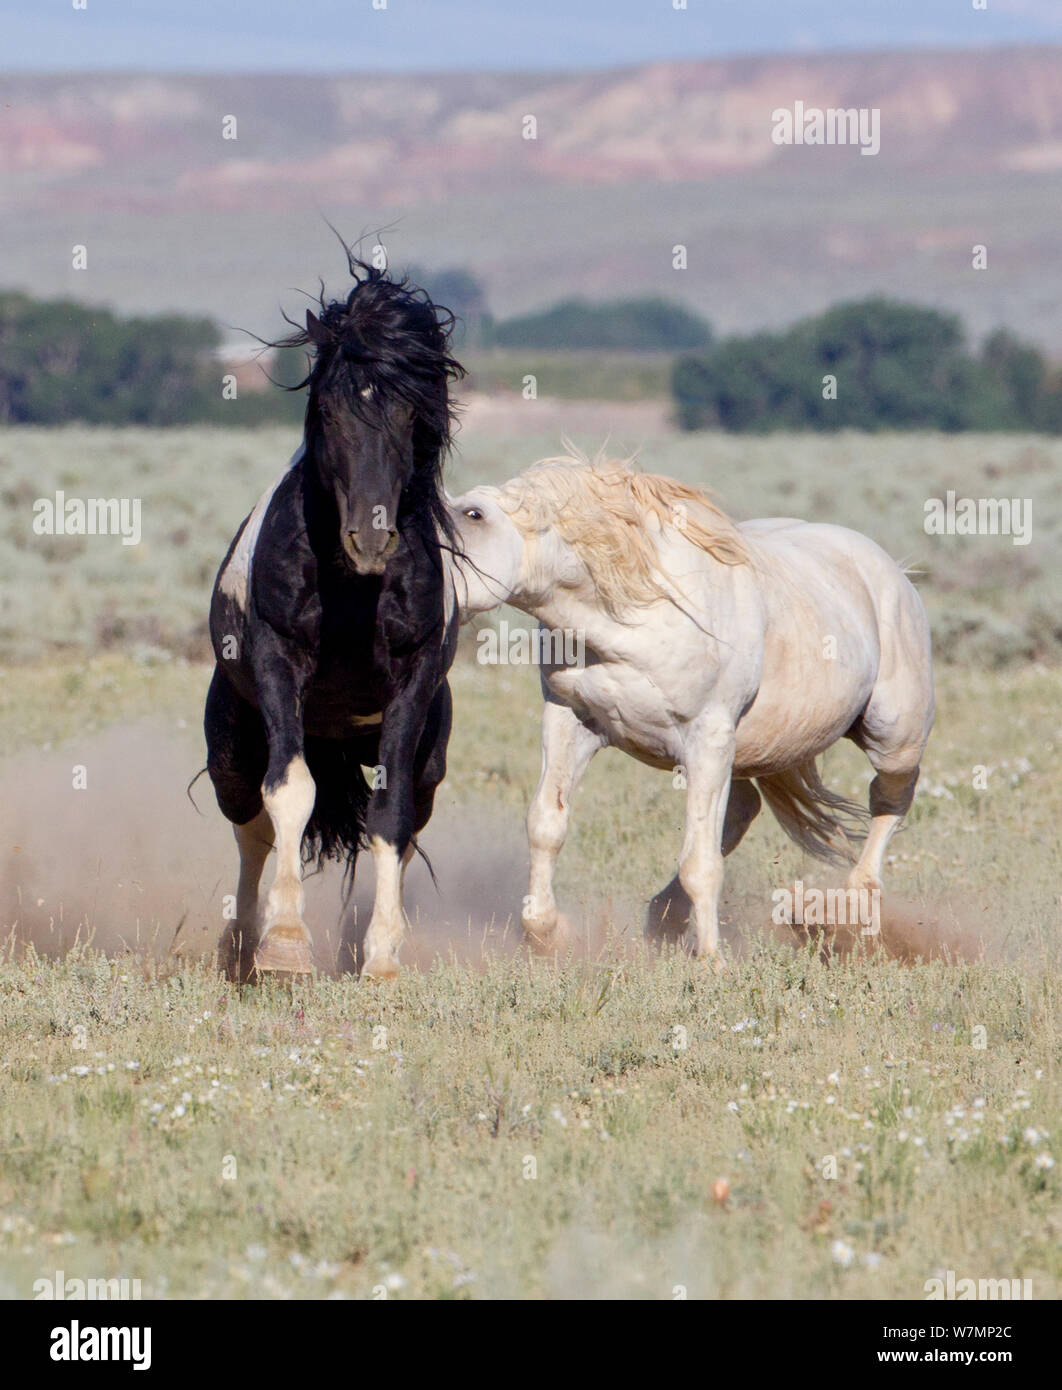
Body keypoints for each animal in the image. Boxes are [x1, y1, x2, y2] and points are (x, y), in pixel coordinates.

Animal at [205, 260, 464, 983]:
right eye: (327, 408)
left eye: (411, 409)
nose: (370, 538)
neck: (354, 590)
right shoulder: (277, 664)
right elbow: (290, 792)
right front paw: (285, 945)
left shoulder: (413, 683)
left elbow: (390, 814)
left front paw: (380, 955)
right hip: (230, 749)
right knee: (252, 826)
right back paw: (242, 942)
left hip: (426, 753)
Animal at [446, 453, 934, 967]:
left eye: (473, 514)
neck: (633, 615)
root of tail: (893, 572)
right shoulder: (570, 721)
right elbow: (547, 823)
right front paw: (546, 935)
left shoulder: (708, 736)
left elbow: (700, 863)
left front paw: (713, 961)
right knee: (742, 810)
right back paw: (666, 917)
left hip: (893, 734)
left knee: (891, 797)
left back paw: (855, 909)